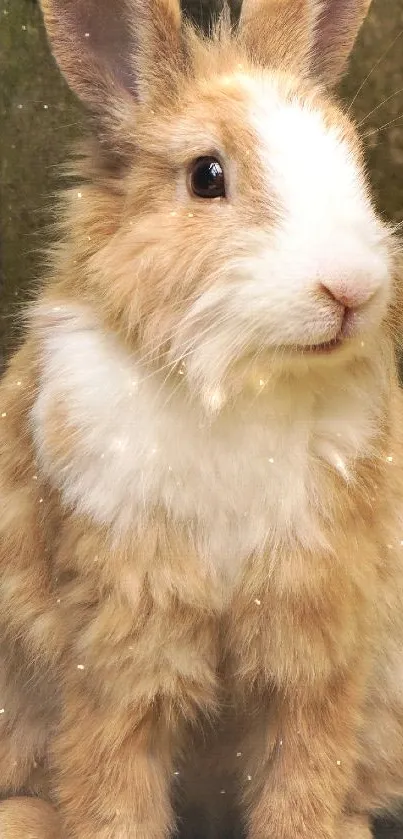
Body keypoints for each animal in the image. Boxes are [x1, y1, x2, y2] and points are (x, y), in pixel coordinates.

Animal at [1, 0, 403, 837]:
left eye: (350, 155)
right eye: (205, 176)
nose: (350, 289)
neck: (242, 381)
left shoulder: (314, 634)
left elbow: (303, 773)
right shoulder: (120, 637)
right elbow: (113, 781)